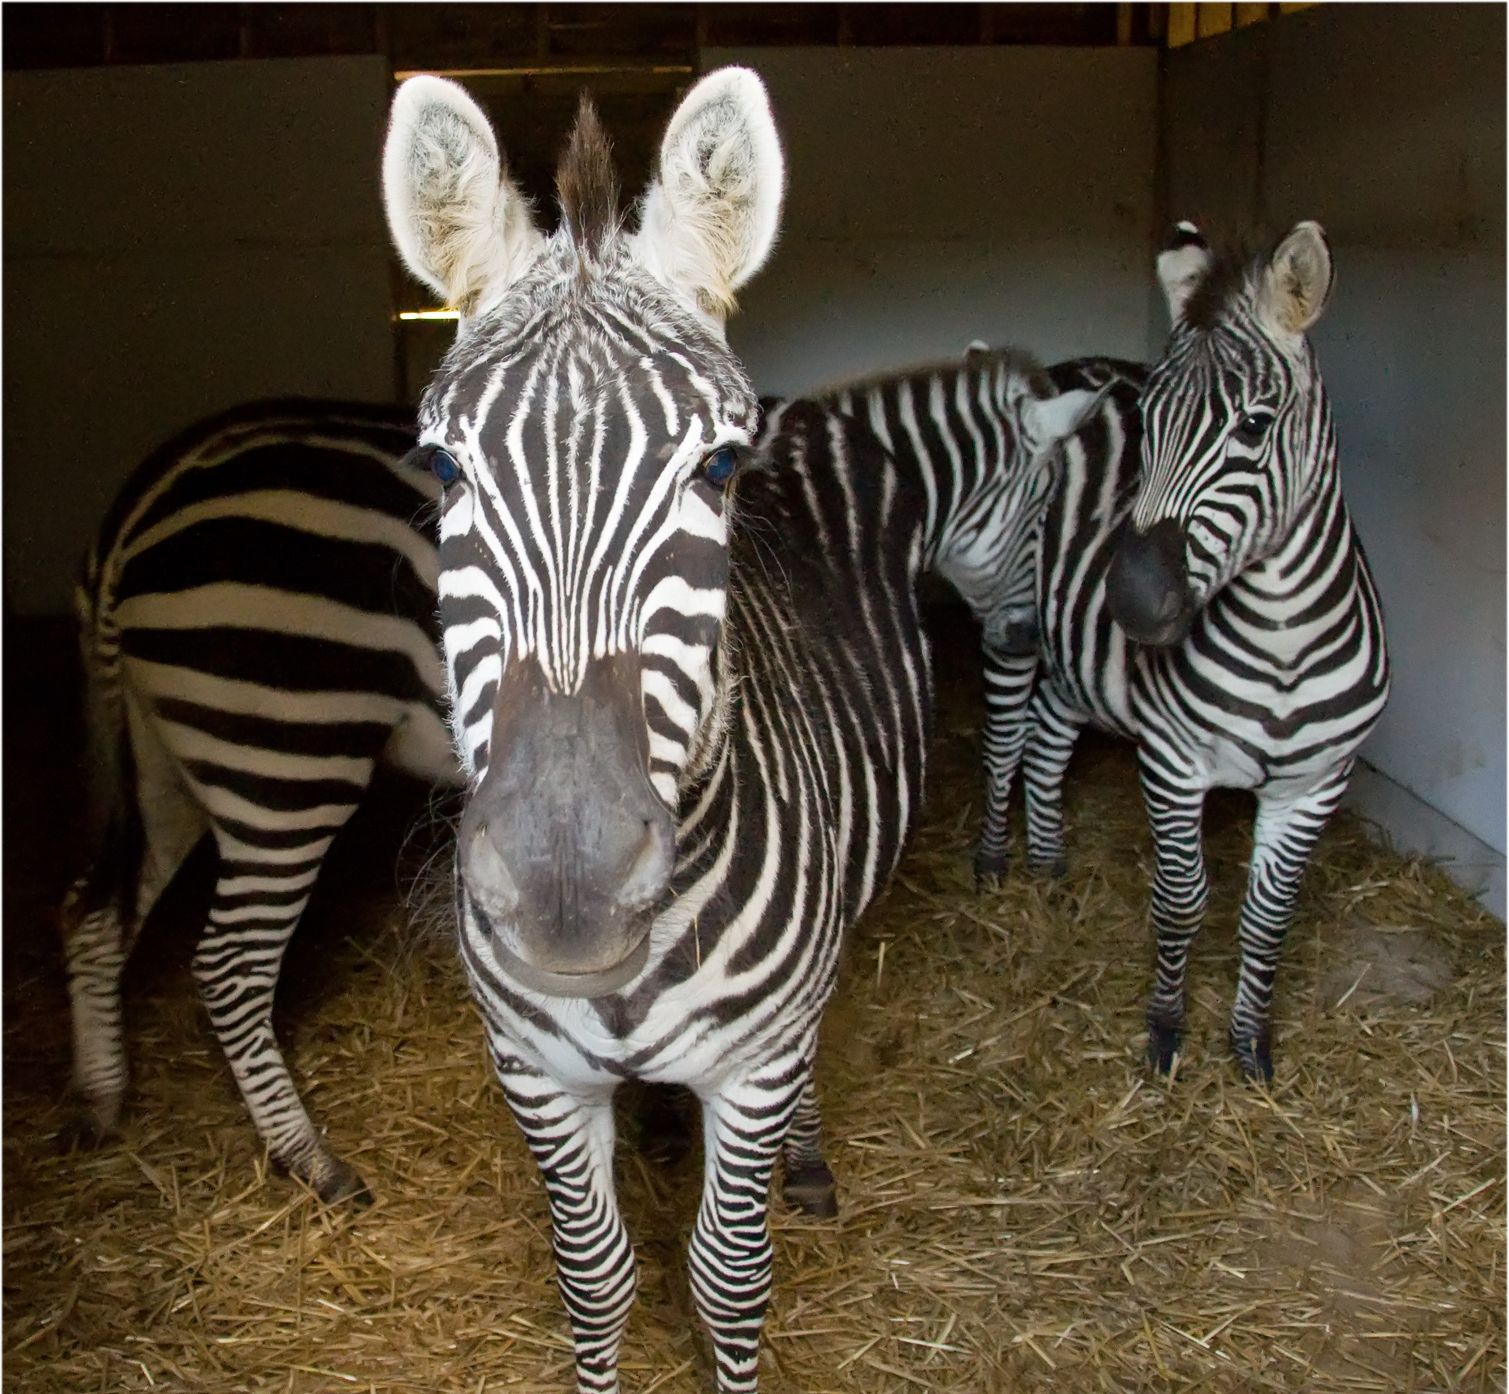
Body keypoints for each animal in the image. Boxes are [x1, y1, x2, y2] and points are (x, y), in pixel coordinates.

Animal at [59, 400, 456, 1203]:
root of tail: (138, 504)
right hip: (287, 760)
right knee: (229, 966)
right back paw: (313, 1161)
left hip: (165, 763)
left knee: (91, 916)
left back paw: (101, 1100)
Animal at [381, 70, 936, 1393]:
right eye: (444, 470)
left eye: (719, 469)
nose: (565, 882)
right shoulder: (534, 1073)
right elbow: (597, 1279)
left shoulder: (749, 1065)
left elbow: (728, 1282)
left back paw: (806, 1157)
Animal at [1018, 220, 1390, 1081]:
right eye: (1146, 422)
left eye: (1253, 425)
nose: (1130, 602)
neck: (1284, 647)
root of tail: (1080, 362)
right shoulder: (1172, 761)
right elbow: (1181, 901)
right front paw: (1164, 1032)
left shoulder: (1315, 784)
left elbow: (1267, 917)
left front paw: (1250, 1043)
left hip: (1078, 665)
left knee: (1051, 726)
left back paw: (1047, 859)